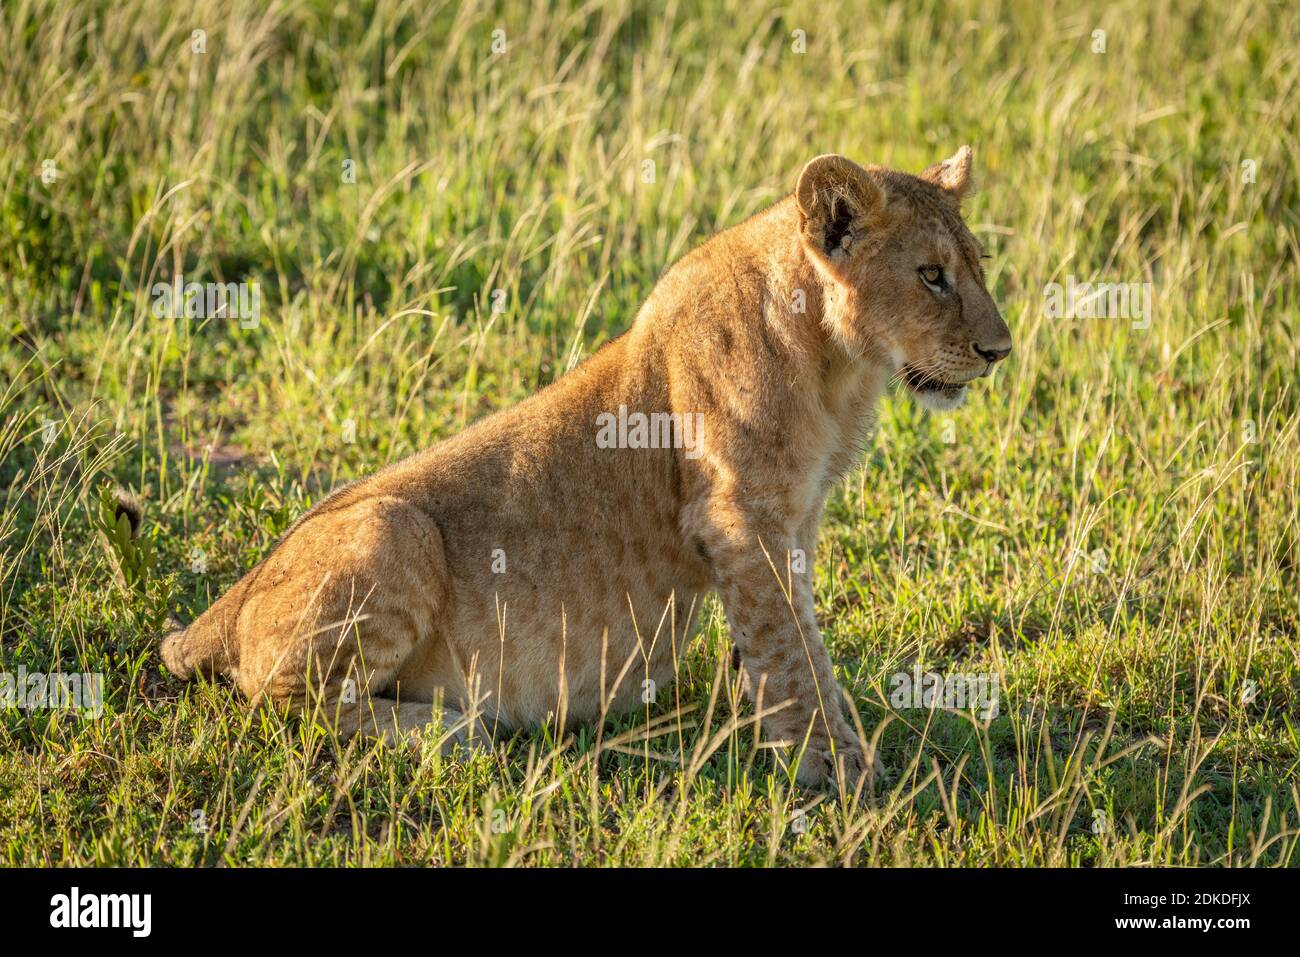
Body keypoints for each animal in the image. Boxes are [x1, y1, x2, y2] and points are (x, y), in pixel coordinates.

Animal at [159, 148, 1011, 788]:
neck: (836, 368)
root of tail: (226, 603)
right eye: (931, 275)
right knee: (281, 700)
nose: (1000, 350)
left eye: (976, 266)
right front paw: (831, 766)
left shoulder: (793, 520)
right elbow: (790, 652)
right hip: (392, 527)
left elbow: (798, 643)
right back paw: (450, 731)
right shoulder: (740, 518)